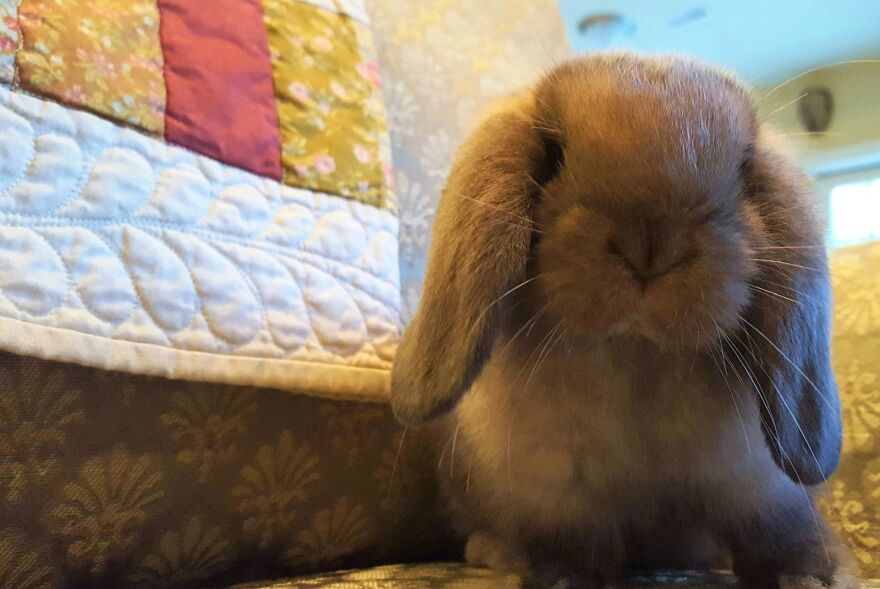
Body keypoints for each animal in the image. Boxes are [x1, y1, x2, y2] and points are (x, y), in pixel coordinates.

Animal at [390, 53, 858, 589]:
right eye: (553, 154)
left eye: (744, 171)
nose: (651, 247)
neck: (638, 355)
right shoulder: (560, 493)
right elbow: (574, 546)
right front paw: (564, 580)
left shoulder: (761, 487)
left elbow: (780, 533)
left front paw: (811, 578)